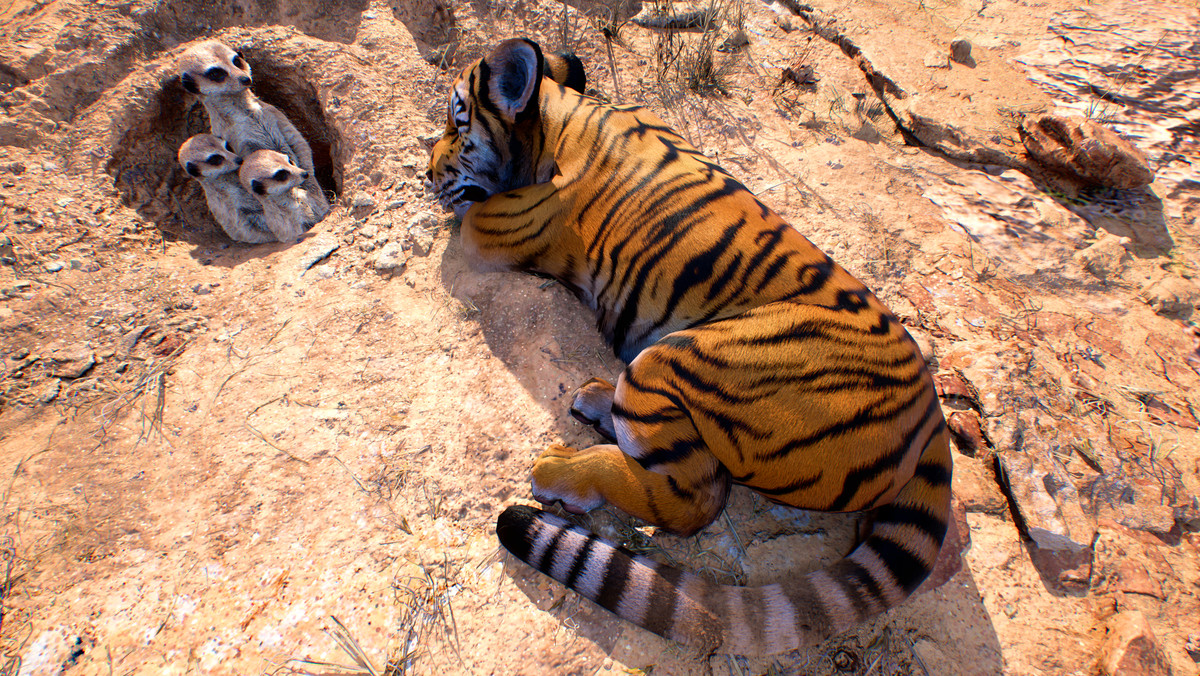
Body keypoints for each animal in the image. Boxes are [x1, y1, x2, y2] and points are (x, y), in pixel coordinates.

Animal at [426, 38, 952, 656]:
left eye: (457, 119)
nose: (424, 171)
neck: (560, 116)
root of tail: (934, 425)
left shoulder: (492, 227)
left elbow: (472, 215)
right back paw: (597, 401)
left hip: (687, 357)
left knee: (697, 496)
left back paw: (565, 470)